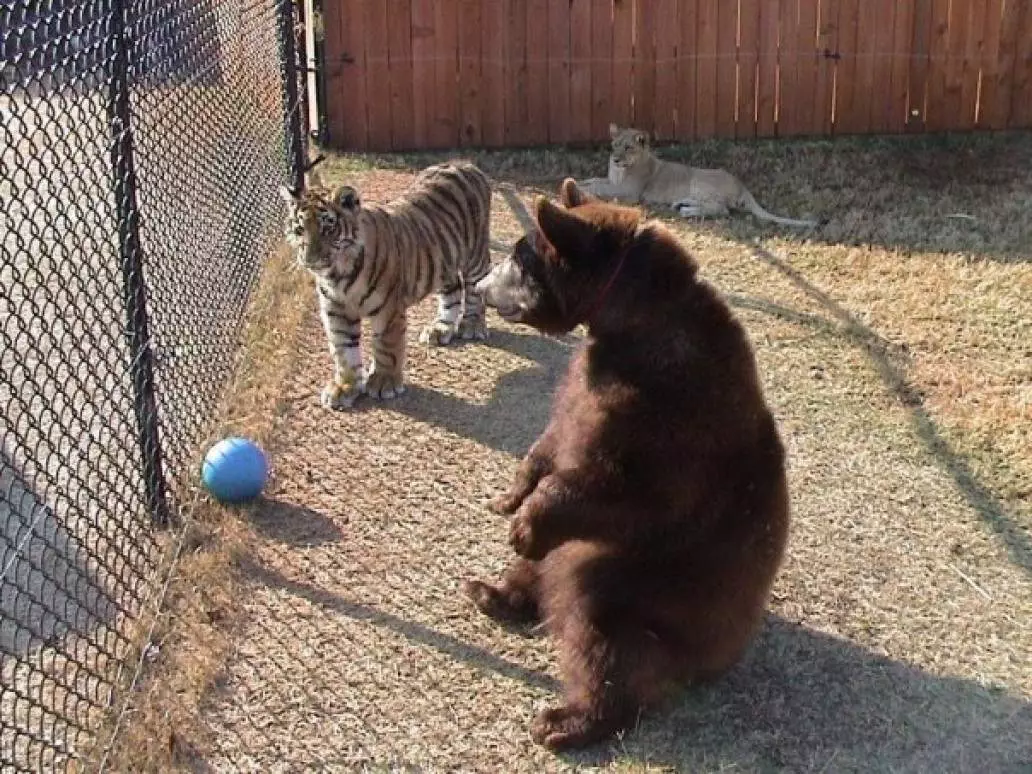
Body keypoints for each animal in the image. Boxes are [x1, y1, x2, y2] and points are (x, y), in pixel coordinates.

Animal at [462, 180, 788, 751]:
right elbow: (553, 440)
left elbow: (625, 492)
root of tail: (722, 655)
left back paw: (566, 720)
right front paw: (512, 495)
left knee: (606, 647)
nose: (479, 285)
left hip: (642, 592)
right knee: (546, 574)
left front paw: (526, 523)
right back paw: (494, 592)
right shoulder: (588, 387)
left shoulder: (667, 417)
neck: (629, 324)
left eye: (520, 257)